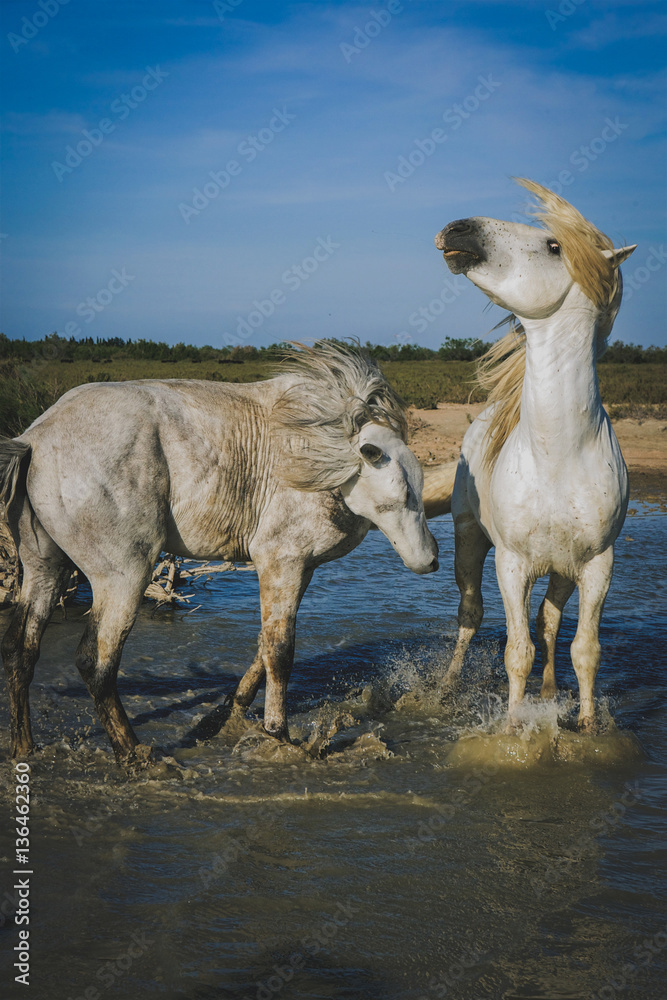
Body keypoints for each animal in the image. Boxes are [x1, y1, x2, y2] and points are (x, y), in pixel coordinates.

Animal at [0, 342, 439, 763]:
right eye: (402, 494)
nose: (432, 559)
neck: (314, 451)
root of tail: (35, 439)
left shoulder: (300, 569)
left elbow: (264, 644)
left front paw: (228, 714)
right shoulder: (281, 562)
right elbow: (280, 652)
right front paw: (278, 735)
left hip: (45, 568)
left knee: (23, 650)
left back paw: (25, 747)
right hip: (124, 574)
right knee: (96, 662)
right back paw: (134, 756)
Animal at [434, 178, 636, 730]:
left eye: (553, 245)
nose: (456, 229)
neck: (559, 456)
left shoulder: (598, 566)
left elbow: (582, 649)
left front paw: (587, 726)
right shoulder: (511, 564)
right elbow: (515, 652)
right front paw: (511, 726)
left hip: (562, 571)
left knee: (547, 621)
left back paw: (547, 693)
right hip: (469, 540)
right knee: (471, 615)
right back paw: (446, 688)